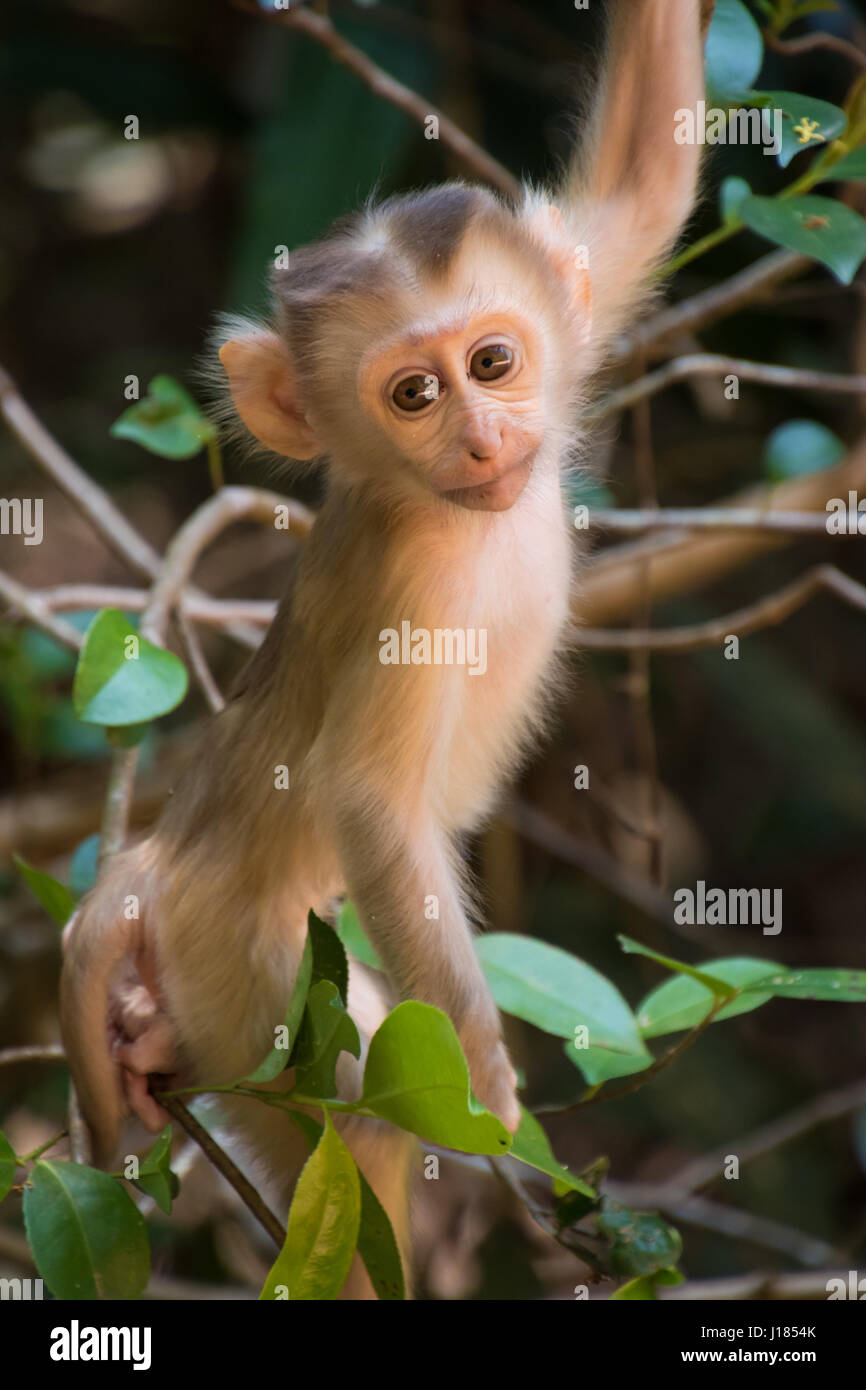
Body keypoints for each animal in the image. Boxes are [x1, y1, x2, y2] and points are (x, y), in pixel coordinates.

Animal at [60, 0, 711, 1298]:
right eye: (414, 393)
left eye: (494, 362)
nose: (482, 438)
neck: (456, 514)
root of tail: (154, 860)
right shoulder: (409, 586)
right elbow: (367, 799)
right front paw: (492, 1091)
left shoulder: (571, 292)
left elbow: (649, 174)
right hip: (250, 980)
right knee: (352, 1135)